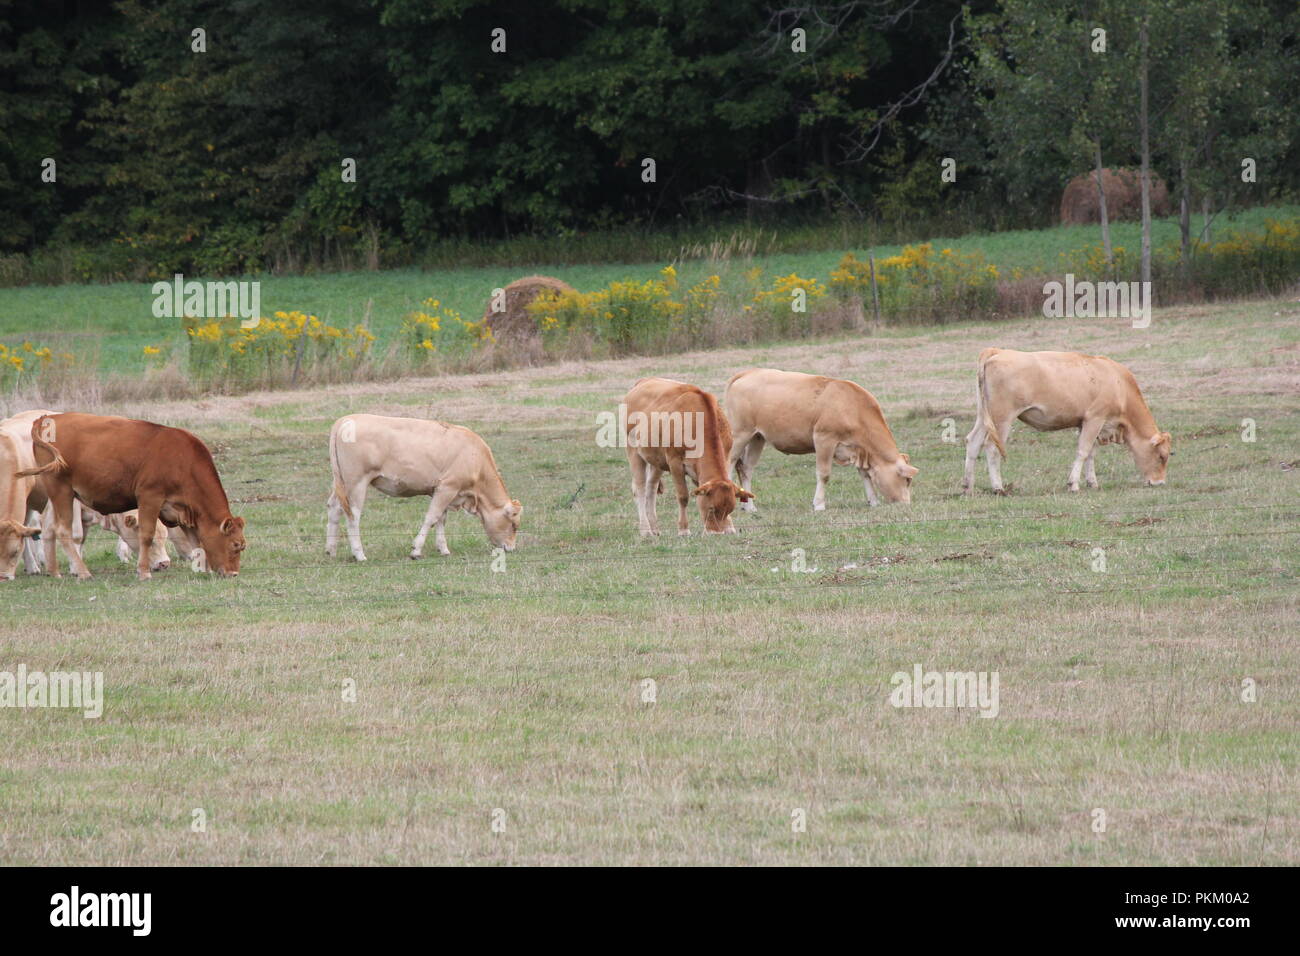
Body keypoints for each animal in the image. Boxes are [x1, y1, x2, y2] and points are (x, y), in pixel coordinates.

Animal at [17, 413, 246, 580]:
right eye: (235, 545)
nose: (233, 573)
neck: (183, 460)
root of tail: (47, 418)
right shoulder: (150, 497)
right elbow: (147, 535)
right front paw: (143, 572)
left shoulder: (182, 509)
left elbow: (195, 539)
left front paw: (202, 568)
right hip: (62, 490)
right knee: (64, 531)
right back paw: (82, 572)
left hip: (57, 494)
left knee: (49, 528)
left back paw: (54, 572)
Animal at [326, 414, 522, 560]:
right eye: (514, 525)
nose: (511, 548)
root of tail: (346, 419)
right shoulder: (448, 487)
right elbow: (432, 517)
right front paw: (416, 550)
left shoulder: (441, 491)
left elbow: (441, 519)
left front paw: (443, 549)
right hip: (356, 483)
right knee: (353, 516)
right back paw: (359, 554)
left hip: (340, 483)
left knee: (334, 508)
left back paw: (331, 550)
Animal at [623, 377, 752, 536]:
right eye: (711, 508)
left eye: (729, 510)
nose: (715, 533)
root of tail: (644, 380)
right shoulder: (675, 462)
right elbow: (683, 496)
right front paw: (684, 530)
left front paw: (729, 527)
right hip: (633, 451)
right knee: (639, 489)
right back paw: (646, 531)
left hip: (656, 461)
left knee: (651, 489)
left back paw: (655, 529)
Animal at [725, 368, 918, 512]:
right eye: (907, 480)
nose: (906, 504)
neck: (852, 406)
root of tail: (748, 373)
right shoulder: (824, 439)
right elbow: (824, 474)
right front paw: (819, 504)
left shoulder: (858, 448)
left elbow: (865, 473)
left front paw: (873, 501)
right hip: (740, 434)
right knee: (729, 463)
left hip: (757, 437)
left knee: (746, 469)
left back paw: (750, 507)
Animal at [962, 347, 1173, 494]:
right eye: (1162, 456)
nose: (1160, 483)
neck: (1118, 383)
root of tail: (997, 351)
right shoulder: (1095, 418)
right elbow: (1083, 451)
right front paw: (1073, 484)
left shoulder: (1086, 422)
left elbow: (1090, 453)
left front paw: (1092, 482)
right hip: (1002, 417)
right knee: (991, 447)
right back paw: (998, 487)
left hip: (984, 416)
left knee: (973, 442)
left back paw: (967, 487)